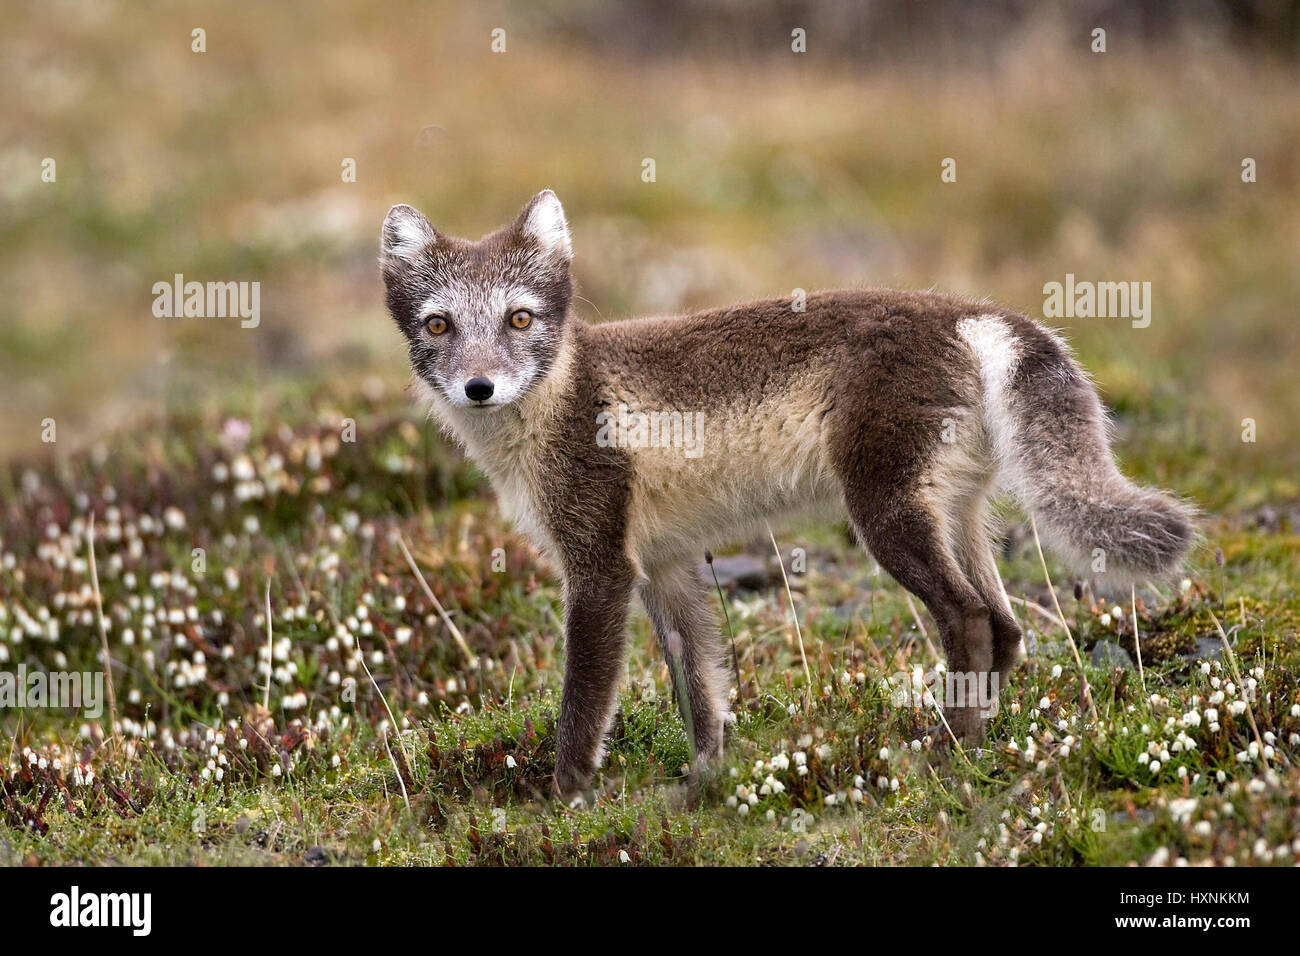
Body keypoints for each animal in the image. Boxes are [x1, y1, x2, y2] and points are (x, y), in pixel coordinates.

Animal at [379, 189, 1195, 798]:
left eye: (519, 318)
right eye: (439, 325)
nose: (478, 387)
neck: (555, 400)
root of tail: (978, 315)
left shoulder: (600, 567)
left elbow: (583, 707)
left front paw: (564, 800)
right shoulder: (667, 564)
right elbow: (701, 687)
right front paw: (706, 783)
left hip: (886, 515)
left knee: (967, 622)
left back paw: (941, 755)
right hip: (954, 513)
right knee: (1006, 627)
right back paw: (973, 744)